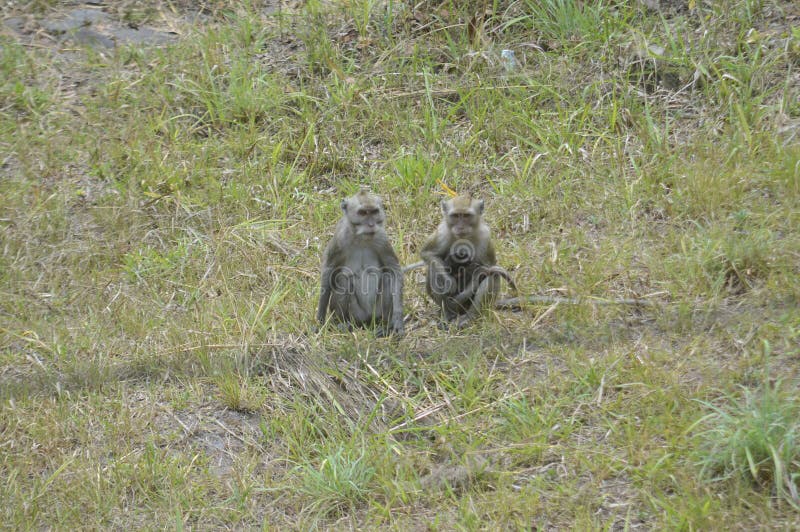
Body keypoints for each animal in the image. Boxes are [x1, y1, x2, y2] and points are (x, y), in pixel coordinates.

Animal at [316, 189, 405, 336]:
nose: (371, 225)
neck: (361, 238)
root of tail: (367, 319)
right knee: (343, 280)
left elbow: (394, 270)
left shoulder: (382, 238)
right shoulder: (339, 239)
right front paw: (320, 319)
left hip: (375, 311)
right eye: (362, 213)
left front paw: (397, 318)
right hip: (356, 314)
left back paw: (384, 326)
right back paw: (343, 324)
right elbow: (328, 270)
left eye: (374, 212)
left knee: (387, 278)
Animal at [420, 194, 517, 328]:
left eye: (466, 216)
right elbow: (428, 254)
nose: (461, 227)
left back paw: (470, 316)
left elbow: (489, 267)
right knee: (433, 269)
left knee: (492, 274)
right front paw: (449, 280)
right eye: (455, 216)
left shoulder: (485, 236)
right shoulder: (441, 233)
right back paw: (447, 313)